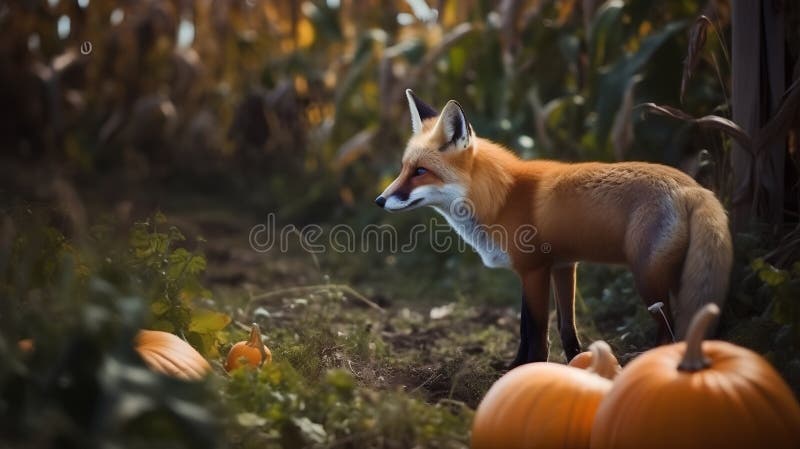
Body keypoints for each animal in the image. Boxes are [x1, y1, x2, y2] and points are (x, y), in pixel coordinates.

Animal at [375, 90, 733, 367]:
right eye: (404, 168)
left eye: (420, 172)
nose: (379, 200)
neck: (502, 197)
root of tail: (692, 187)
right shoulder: (560, 266)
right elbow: (557, 327)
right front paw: (568, 364)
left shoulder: (534, 270)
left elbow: (535, 333)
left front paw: (527, 371)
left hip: (649, 281)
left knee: (667, 332)